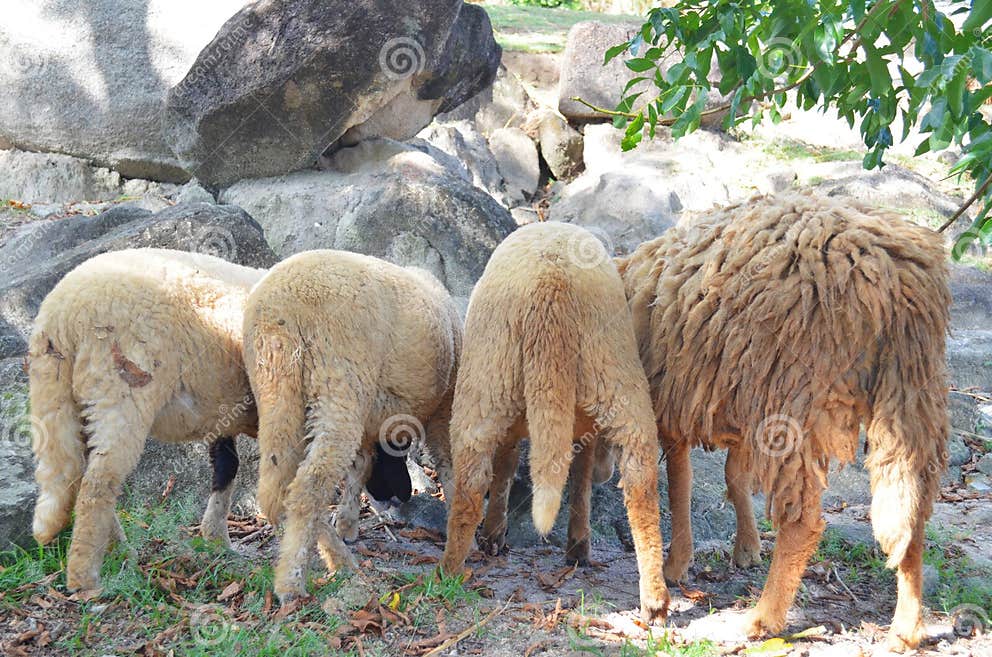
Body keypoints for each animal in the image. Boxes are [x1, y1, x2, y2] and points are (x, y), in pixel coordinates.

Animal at [28, 248, 265, 591]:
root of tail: (58, 318)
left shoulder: (222, 409)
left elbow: (226, 465)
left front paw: (217, 540)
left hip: (62, 395)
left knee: (78, 472)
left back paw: (117, 551)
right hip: (119, 386)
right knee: (98, 482)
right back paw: (87, 581)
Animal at [242, 250, 460, 603]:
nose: (400, 496)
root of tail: (279, 309)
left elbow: (360, 466)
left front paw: (347, 522)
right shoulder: (444, 404)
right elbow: (448, 463)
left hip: (278, 391)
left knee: (283, 483)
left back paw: (334, 557)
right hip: (338, 384)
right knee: (309, 486)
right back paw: (293, 582)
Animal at [439, 221, 670, 622]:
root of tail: (552, 287)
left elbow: (506, 468)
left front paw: (495, 535)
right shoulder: (581, 429)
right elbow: (576, 480)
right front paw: (575, 545)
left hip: (485, 383)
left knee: (469, 487)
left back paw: (448, 572)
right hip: (616, 380)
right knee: (641, 488)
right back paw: (654, 599)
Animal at [617, 191, 950, 651]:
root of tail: (891, 278)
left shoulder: (670, 404)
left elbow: (679, 483)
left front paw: (675, 565)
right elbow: (732, 474)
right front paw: (746, 547)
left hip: (793, 397)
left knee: (805, 523)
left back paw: (763, 619)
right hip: (912, 390)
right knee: (911, 510)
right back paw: (907, 628)